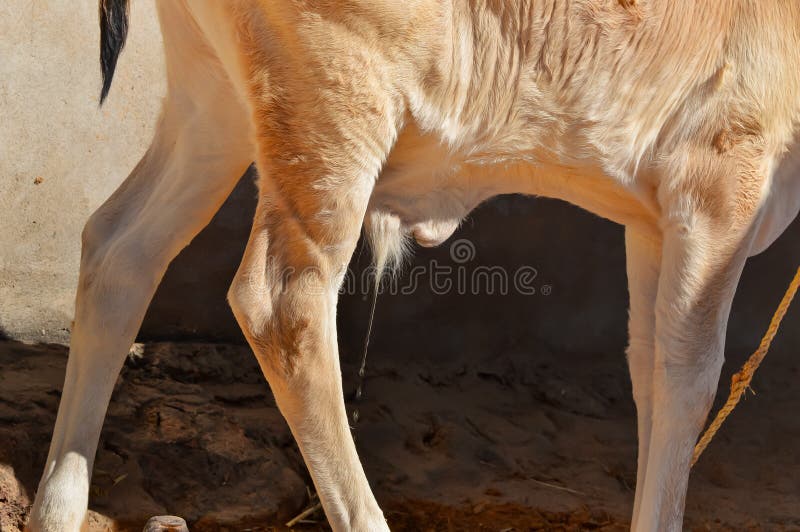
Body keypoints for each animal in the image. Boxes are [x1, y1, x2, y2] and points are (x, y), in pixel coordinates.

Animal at [27, 1, 800, 530]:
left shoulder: (654, 216)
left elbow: (649, 369)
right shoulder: (721, 177)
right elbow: (688, 380)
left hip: (213, 100)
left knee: (120, 246)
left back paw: (56, 506)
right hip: (331, 110)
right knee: (280, 303)